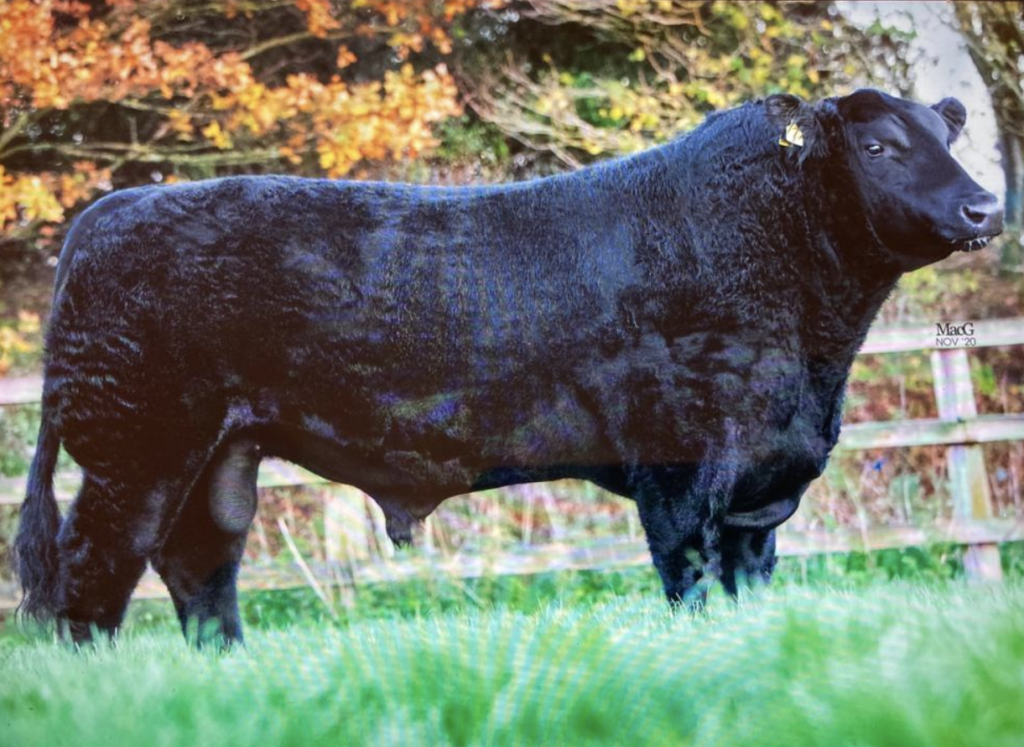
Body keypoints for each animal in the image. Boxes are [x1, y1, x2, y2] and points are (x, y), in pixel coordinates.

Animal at [15, 89, 1003, 647]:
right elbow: (689, 586)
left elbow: (746, 589)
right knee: (91, 571)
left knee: (198, 569)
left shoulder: (761, 488)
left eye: (945, 136)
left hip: (219, 455)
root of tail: (115, 207)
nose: (986, 204)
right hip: (138, 446)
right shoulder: (678, 471)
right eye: (878, 145)